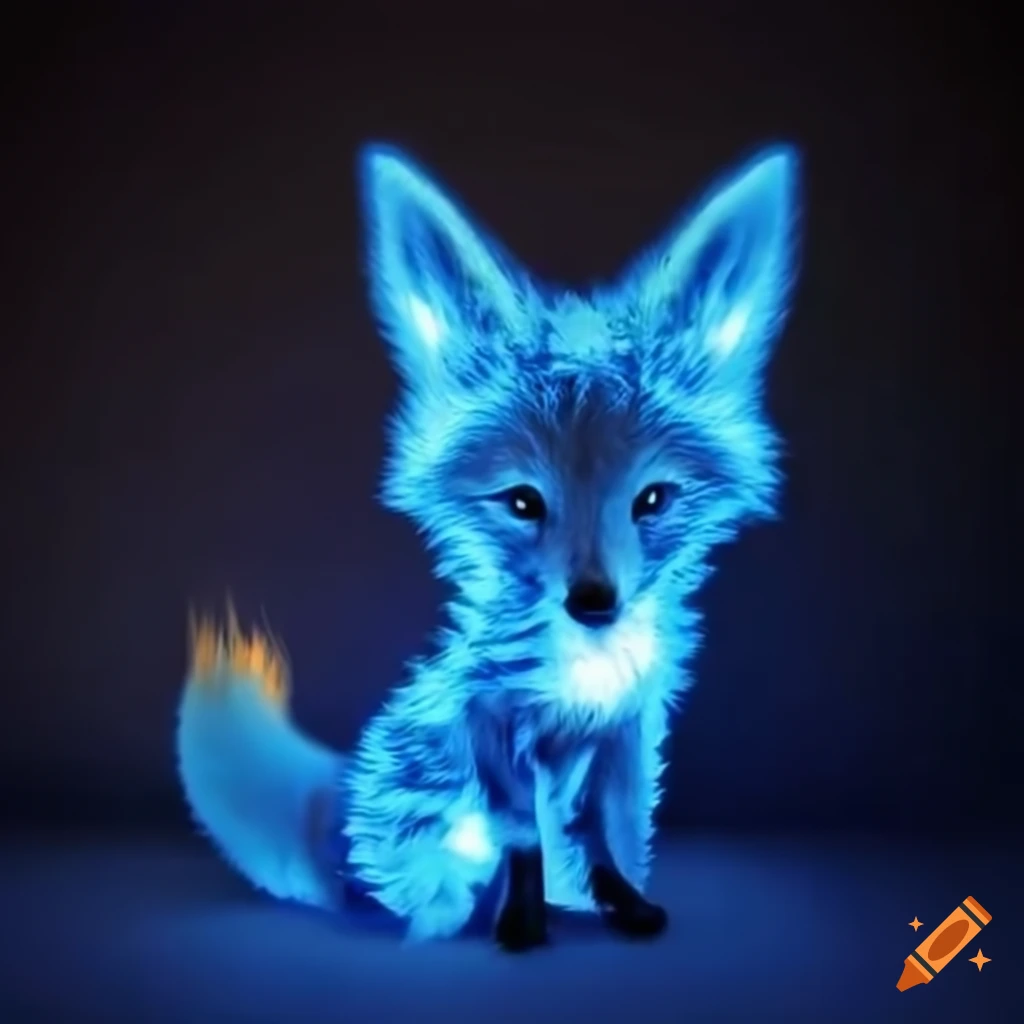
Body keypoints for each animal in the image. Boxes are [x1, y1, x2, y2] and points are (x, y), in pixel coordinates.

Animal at [176, 142, 801, 951]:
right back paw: (438, 910)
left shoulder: (624, 733)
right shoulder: (493, 728)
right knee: (409, 881)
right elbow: (522, 835)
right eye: (523, 503)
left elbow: (602, 833)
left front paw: (622, 905)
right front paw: (523, 922)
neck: (588, 674)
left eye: (654, 500)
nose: (593, 602)